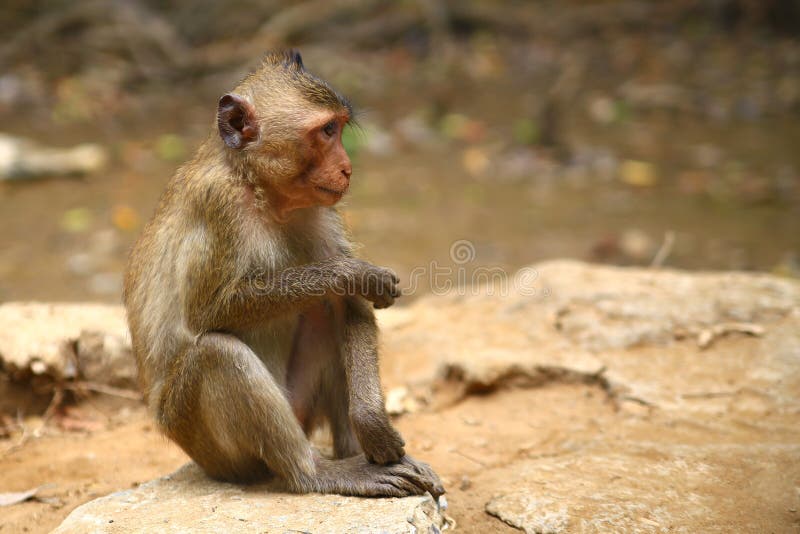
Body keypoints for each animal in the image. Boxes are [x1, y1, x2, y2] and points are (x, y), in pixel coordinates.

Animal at [123, 50, 444, 498]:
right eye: (326, 131)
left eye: (339, 127)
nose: (347, 168)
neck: (258, 188)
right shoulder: (217, 205)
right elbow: (207, 313)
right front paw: (351, 273)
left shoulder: (320, 212)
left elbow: (349, 306)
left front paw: (371, 423)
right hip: (212, 448)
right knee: (216, 354)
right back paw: (316, 472)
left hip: (301, 408)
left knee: (323, 311)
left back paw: (353, 453)